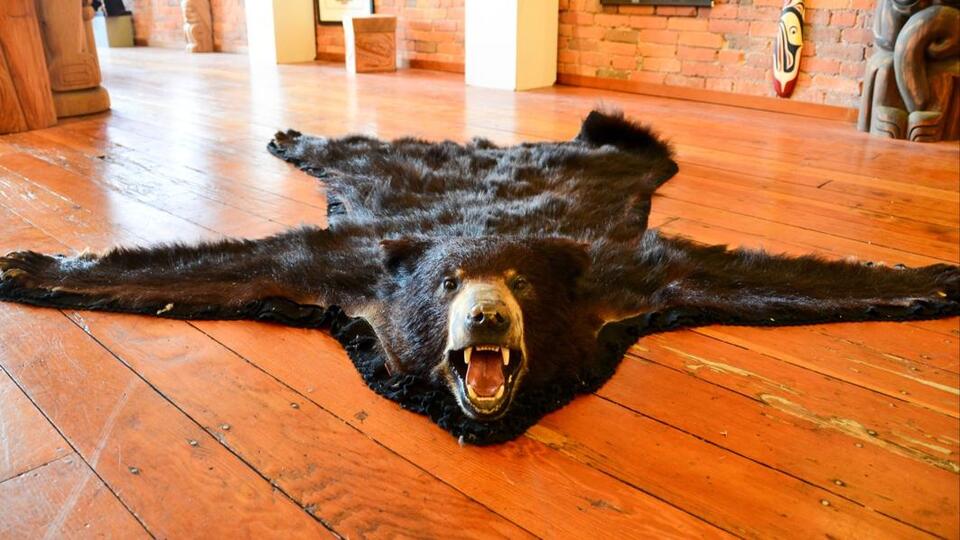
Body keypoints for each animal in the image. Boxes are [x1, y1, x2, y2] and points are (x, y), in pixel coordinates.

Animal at [1, 110, 958, 444]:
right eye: (449, 282)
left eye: (523, 287)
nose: (487, 319)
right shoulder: (353, 272)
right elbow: (231, 267)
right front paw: (31, 263)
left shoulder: (620, 282)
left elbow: (741, 278)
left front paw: (937, 278)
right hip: (383, 177)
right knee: (355, 152)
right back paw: (293, 137)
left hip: (622, 175)